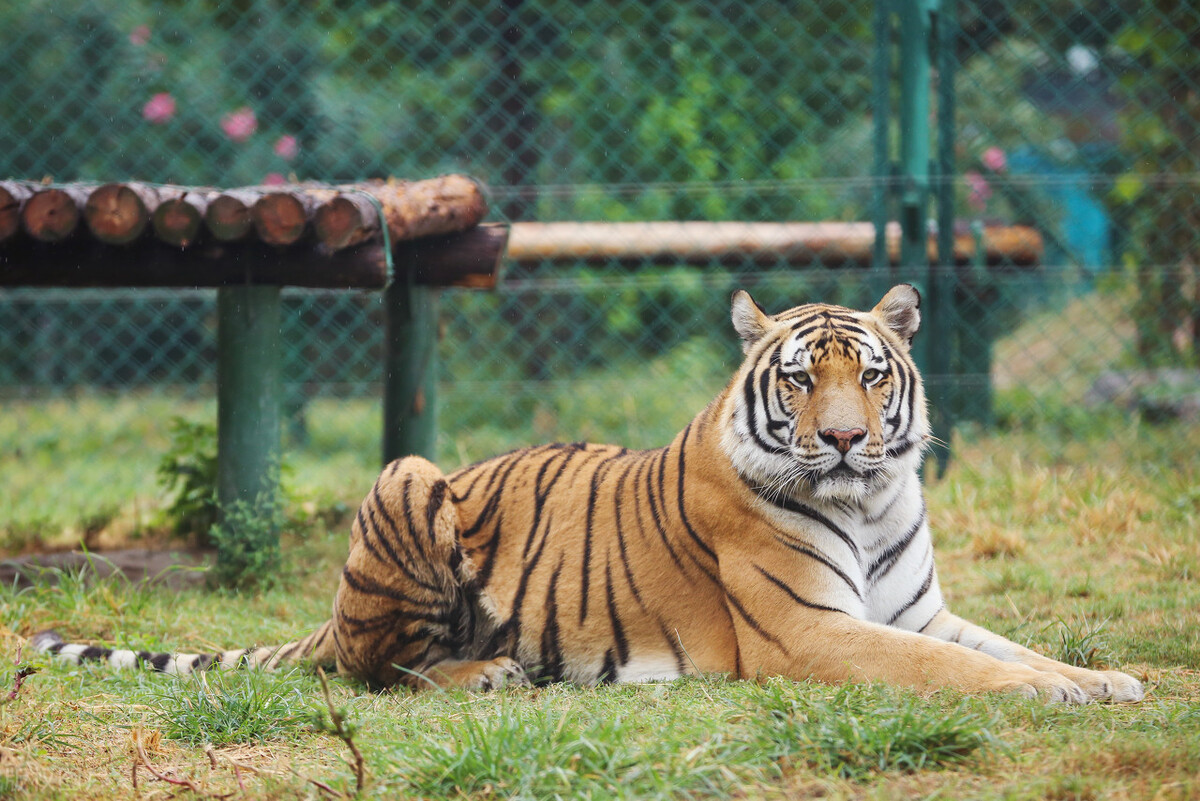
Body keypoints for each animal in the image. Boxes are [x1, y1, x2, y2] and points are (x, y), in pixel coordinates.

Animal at [31, 284, 1144, 703]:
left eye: (871, 376)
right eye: (800, 380)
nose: (843, 440)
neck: (868, 506)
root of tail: (331, 613)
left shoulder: (920, 611)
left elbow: (1000, 645)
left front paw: (1108, 680)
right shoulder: (808, 631)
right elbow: (952, 668)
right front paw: (1056, 691)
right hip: (408, 480)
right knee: (377, 669)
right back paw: (487, 673)